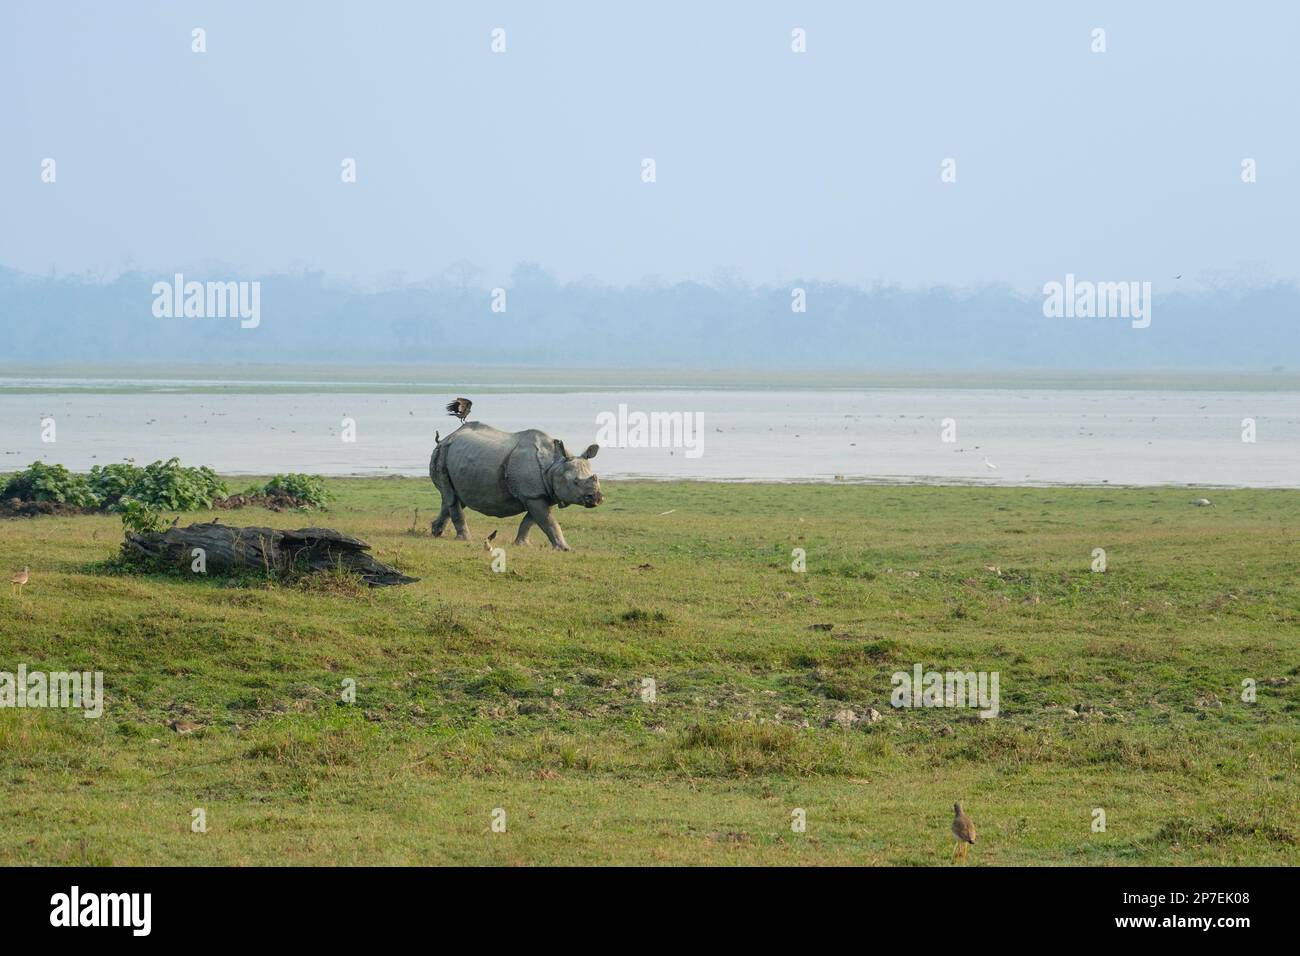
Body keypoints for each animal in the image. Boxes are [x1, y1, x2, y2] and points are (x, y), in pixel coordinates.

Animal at [429, 422, 603, 551]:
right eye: (575, 482)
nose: (596, 498)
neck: (554, 464)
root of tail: (445, 438)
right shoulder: (533, 495)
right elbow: (549, 522)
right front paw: (565, 549)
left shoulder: (543, 494)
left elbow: (531, 521)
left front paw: (521, 544)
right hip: (442, 452)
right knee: (452, 498)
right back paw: (464, 539)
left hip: (456, 456)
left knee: (454, 498)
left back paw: (436, 533)